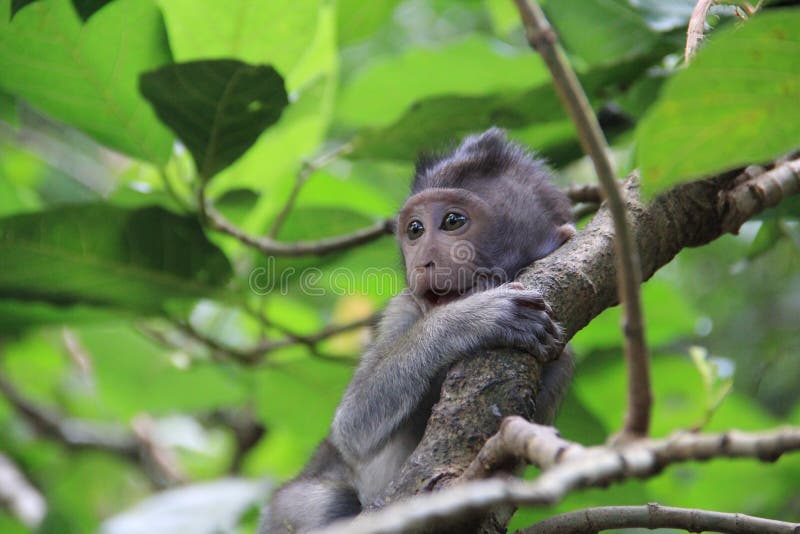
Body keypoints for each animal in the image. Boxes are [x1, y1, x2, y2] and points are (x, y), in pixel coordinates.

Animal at [260, 128, 576, 533]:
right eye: (415, 230)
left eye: (453, 221)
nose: (423, 260)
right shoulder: (402, 311)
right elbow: (352, 424)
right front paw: (474, 316)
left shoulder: (563, 357)